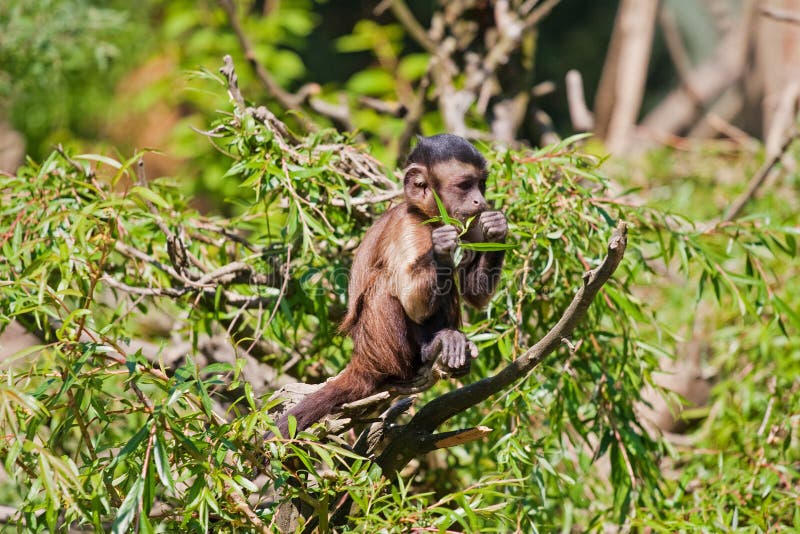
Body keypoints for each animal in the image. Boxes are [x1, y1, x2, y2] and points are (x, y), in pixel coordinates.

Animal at [273, 134, 508, 437]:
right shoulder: (408, 225)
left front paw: (498, 228)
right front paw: (442, 247)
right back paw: (431, 349)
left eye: (482, 184)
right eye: (465, 185)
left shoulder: (468, 224)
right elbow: (412, 301)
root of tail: (362, 358)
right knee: (386, 285)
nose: (481, 200)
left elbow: (475, 296)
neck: (426, 215)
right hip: (382, 350)